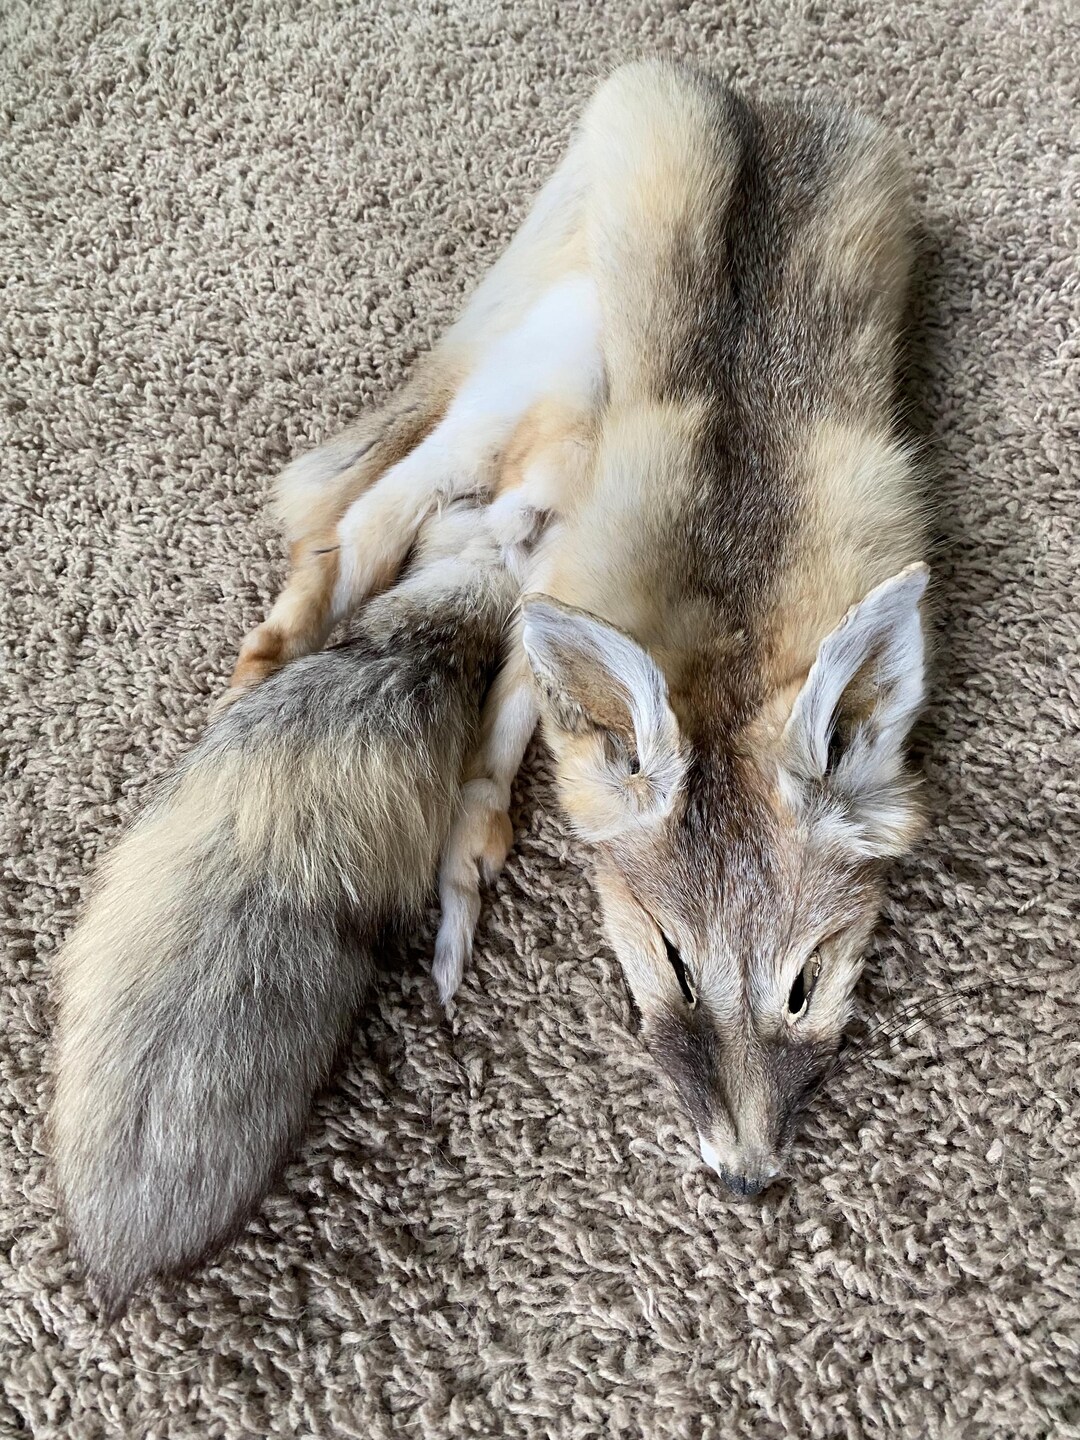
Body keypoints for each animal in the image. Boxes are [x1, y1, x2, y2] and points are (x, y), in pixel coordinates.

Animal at [51, 60, 929, 1307]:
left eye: (804, 987)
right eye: (672, 969)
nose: (748, 1181)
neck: (738, 586)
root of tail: (755, 98)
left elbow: (488, 778)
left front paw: (465, 879)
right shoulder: (554, 602)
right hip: (475, 428)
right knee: (349, 529)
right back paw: (275, 647)